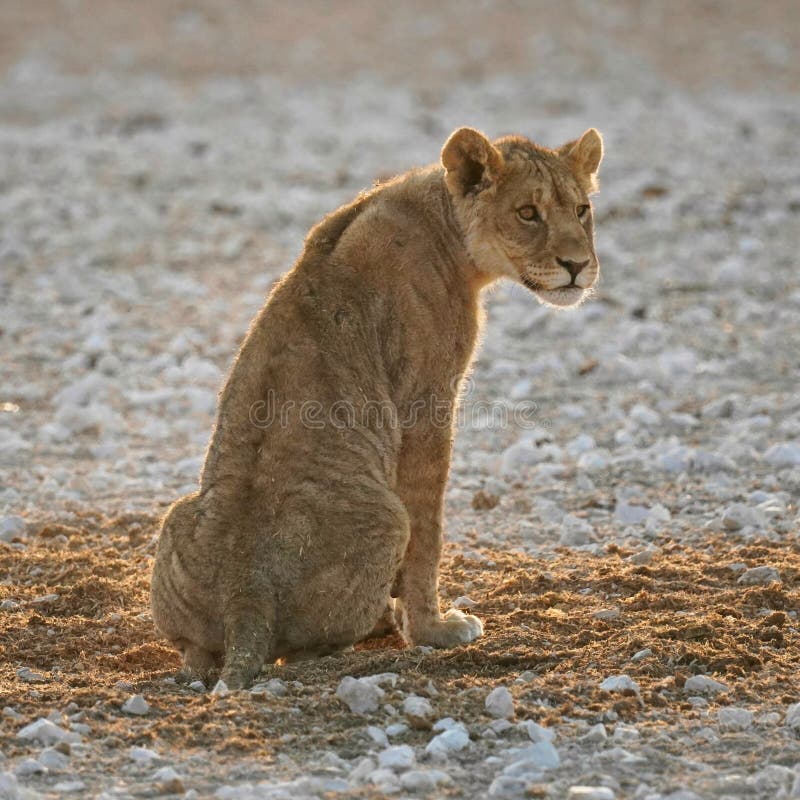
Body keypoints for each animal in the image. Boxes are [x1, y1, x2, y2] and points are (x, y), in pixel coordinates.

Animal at [151, 125, 603, 688]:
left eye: (582, 209)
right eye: (527, 212)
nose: (577, 266)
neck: (446, 226)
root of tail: (246, 595)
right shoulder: (426, 401)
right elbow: (428, 530)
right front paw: (434, 628)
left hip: (176, 519)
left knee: (194, 652)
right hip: (388, 519)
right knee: (307, 648)